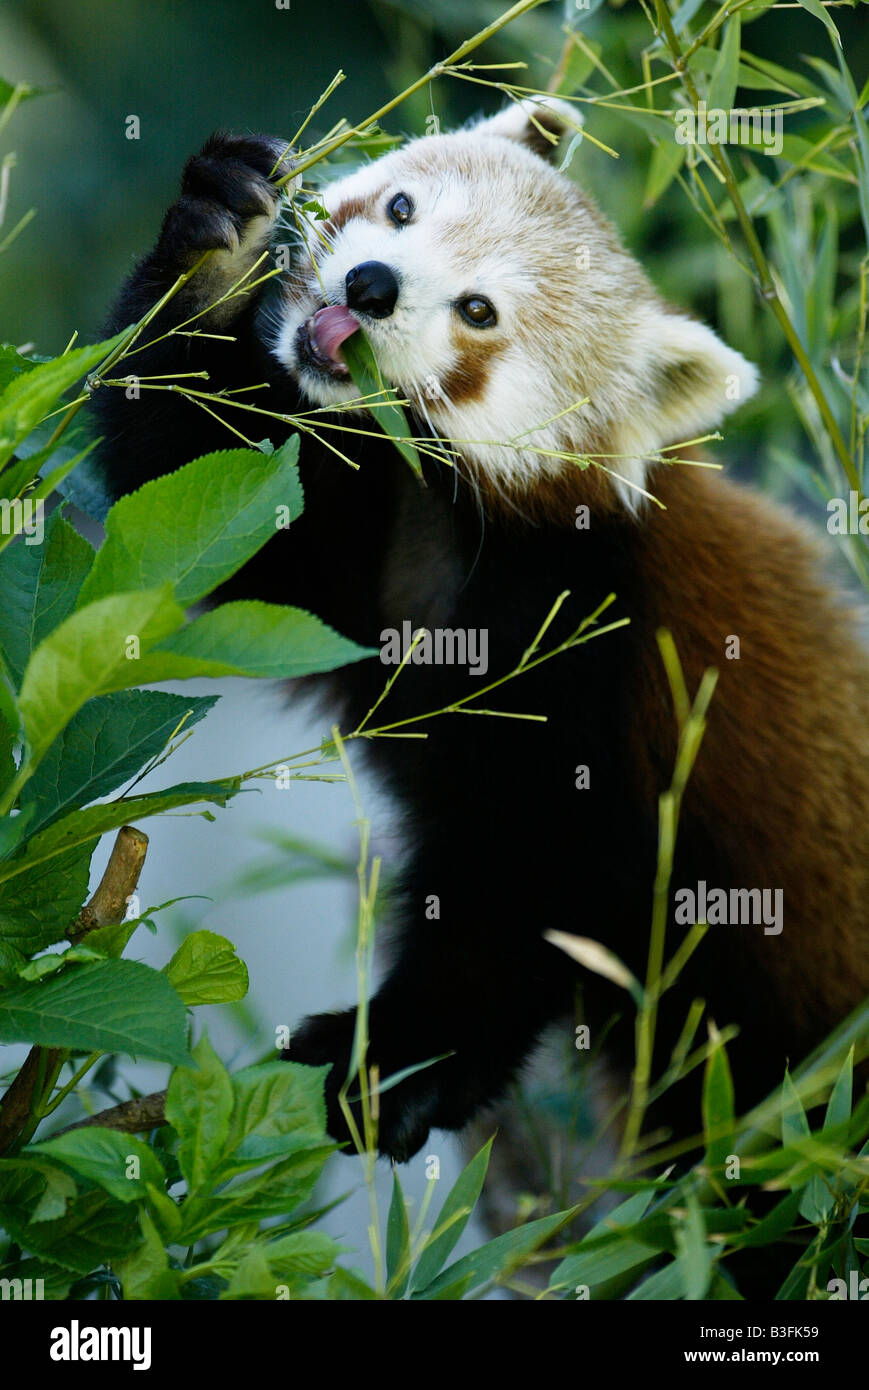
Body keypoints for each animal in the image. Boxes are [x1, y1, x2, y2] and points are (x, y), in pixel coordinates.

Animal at [93, 99, 869, 1175]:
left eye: (477, 313)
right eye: (402, 208)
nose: (370, 286)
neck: (446, 510)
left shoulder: (591, 642)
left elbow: (520, 878)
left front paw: (389, 1063)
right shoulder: (356, 550)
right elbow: (199, 504)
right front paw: (216, 240)